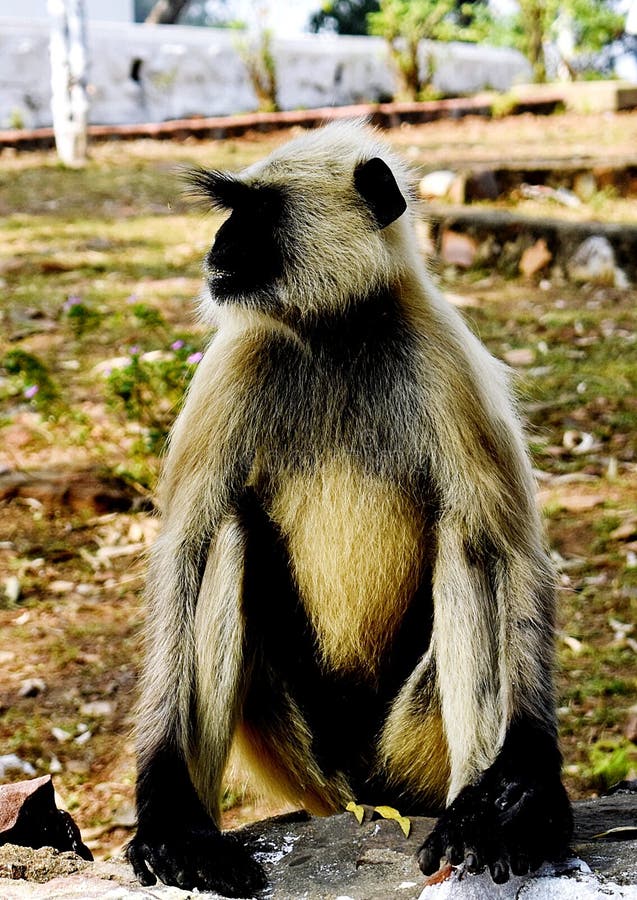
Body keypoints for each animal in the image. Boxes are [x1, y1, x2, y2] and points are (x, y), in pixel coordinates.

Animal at [126, 120, 573, 896]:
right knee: (228, 534)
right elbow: (185, 551)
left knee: (470, 547)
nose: (219, 243)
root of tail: (364, 797)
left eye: (257, 212)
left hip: (409, 751)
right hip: (302, 759)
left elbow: (510, 553)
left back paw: (478, 816)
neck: (334, 330)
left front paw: (527, 791)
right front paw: (167, 817)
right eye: (233, 210)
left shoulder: (445, 362)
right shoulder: (232, 364)